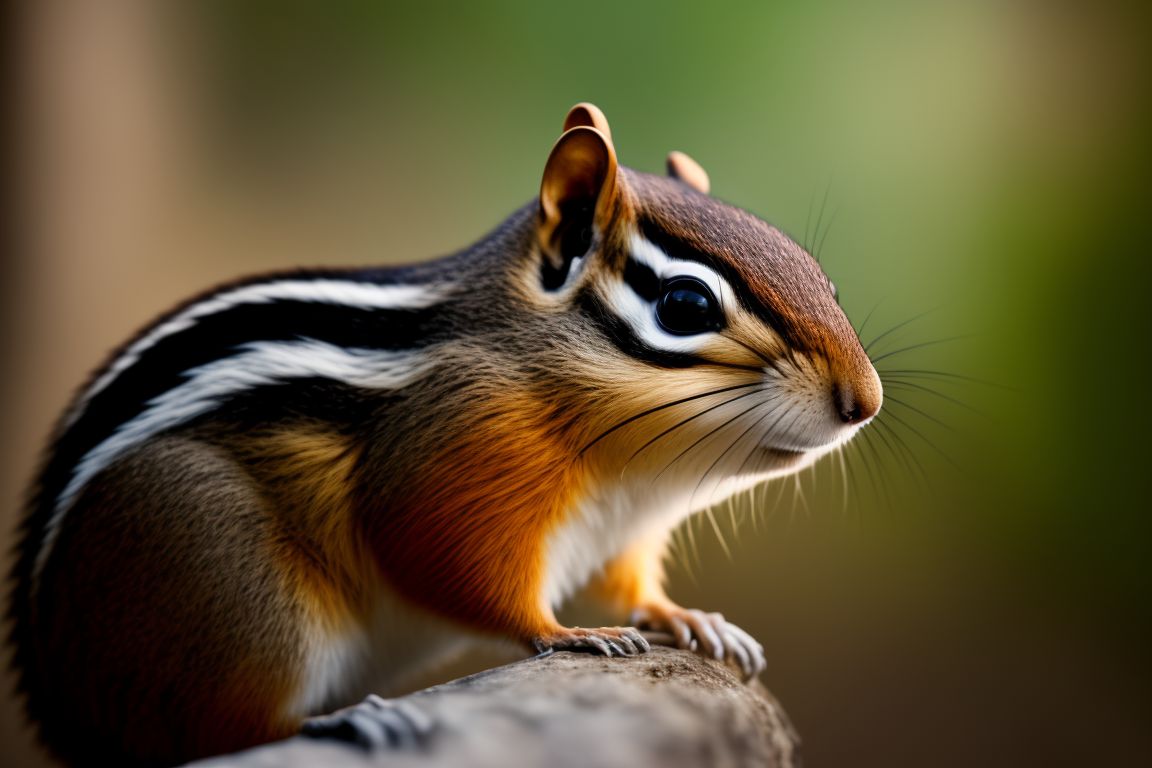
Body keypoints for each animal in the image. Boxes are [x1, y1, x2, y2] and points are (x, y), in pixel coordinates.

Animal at [7, 103, 881, 766]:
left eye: (821, 277)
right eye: (686, 306)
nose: (864, 401)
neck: (633, 477)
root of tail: (62, 708)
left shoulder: (621, 535)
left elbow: (629, 587)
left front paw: (686, 618)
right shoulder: (450, 462)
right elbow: (451, 568)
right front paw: (566, 632)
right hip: (221, 569)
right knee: (217, 727)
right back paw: (340, 717)